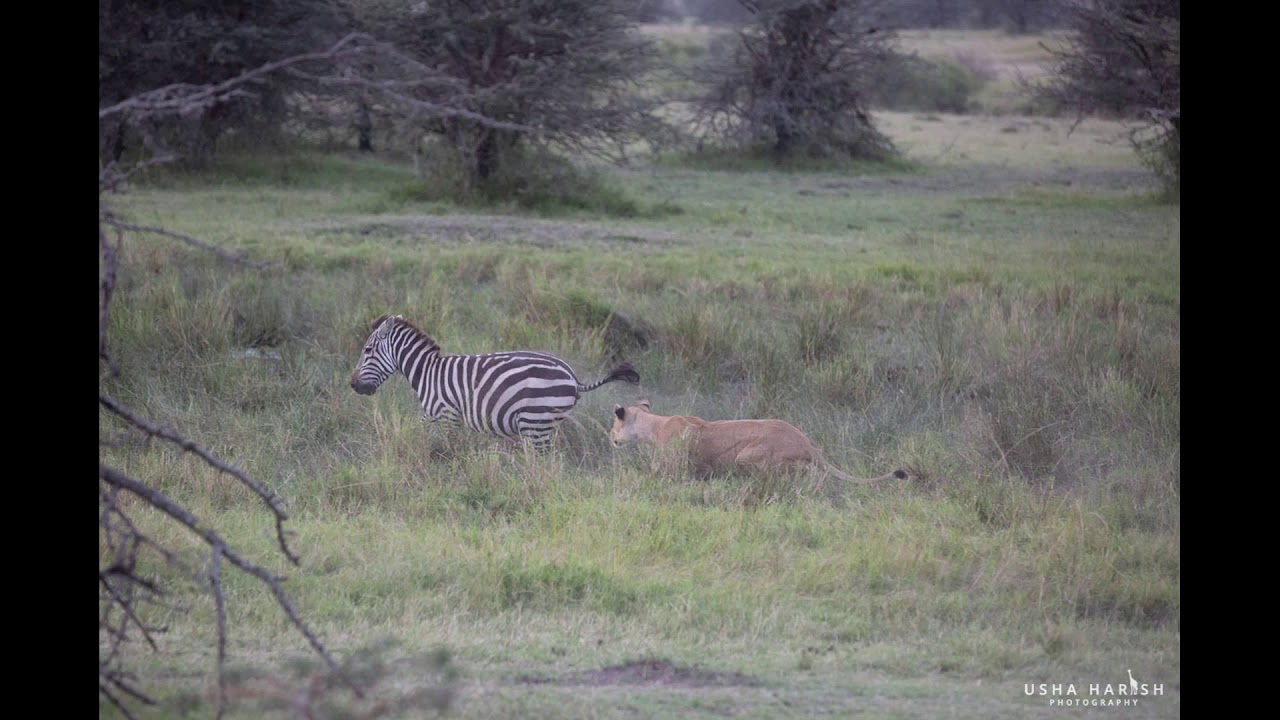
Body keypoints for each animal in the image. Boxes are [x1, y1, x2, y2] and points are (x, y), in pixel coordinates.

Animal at [349, 314, 640, 452]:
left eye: (367, 350)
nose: (353, 385)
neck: (427, 372)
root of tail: (573, 377)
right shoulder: (433, 414)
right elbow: (419, 434)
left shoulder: (447, 415)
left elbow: (450, 448)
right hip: (544, 425)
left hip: (535, 422)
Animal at [609, 400, 907, 489]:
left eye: (615, 422)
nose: (610, 437)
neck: (654, 425)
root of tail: (807, 443)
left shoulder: (672, 469)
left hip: (747, 456)